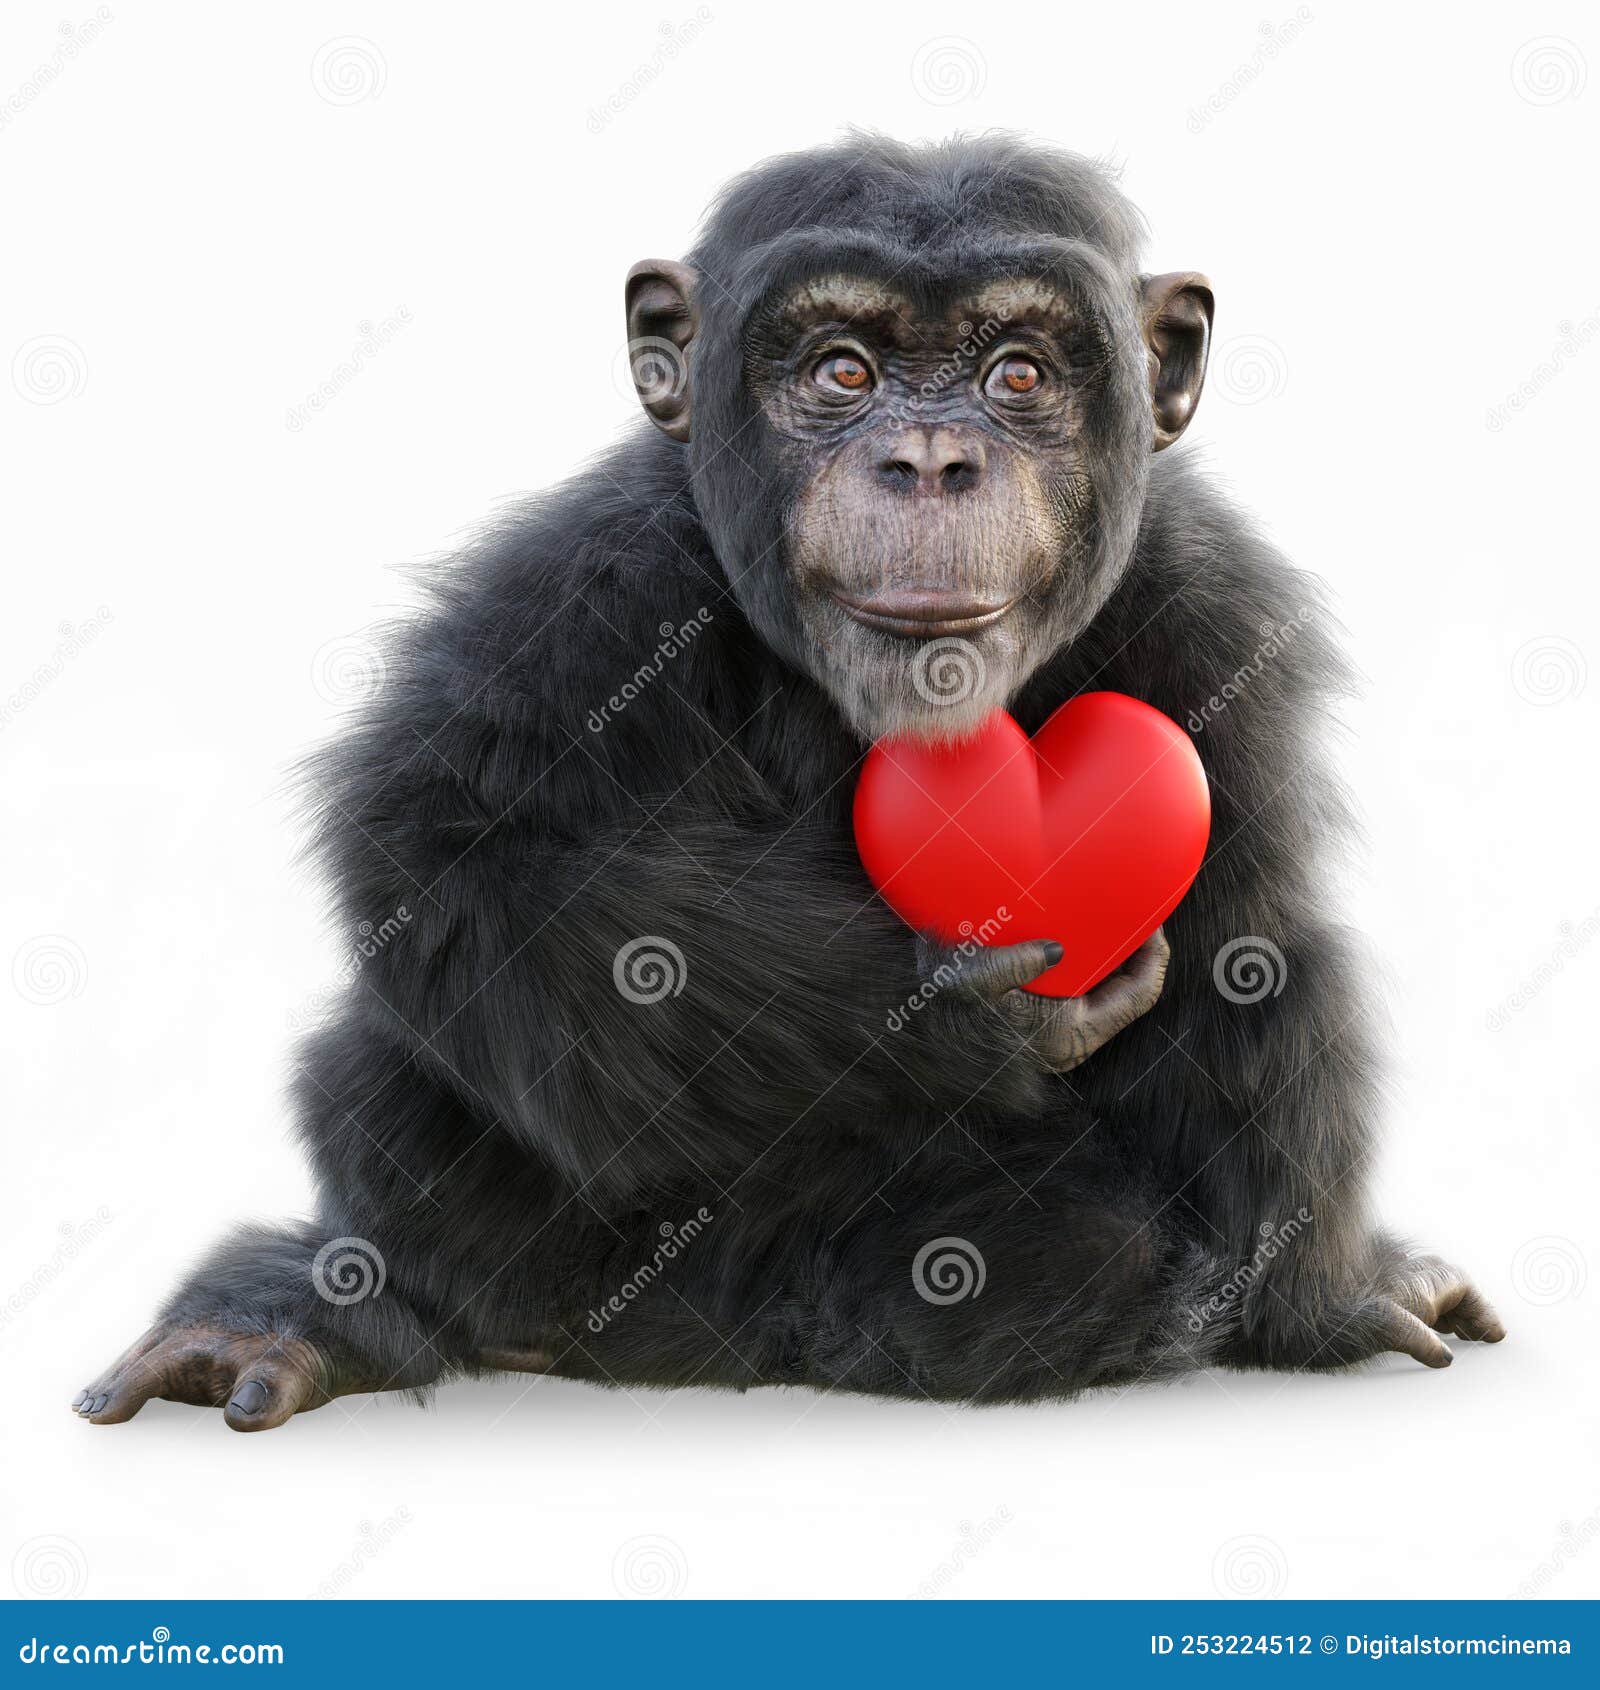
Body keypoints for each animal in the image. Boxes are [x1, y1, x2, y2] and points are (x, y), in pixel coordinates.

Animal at [72, 133, 1502, 1431]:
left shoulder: (1212, 609)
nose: (928, 459)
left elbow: (1256, 938)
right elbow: (458, 849)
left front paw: (1328, 1301)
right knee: (385, 1076)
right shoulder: (592, 576)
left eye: (1018, 372)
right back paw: (318, 1318)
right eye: (841, 371)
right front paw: (959, 996)